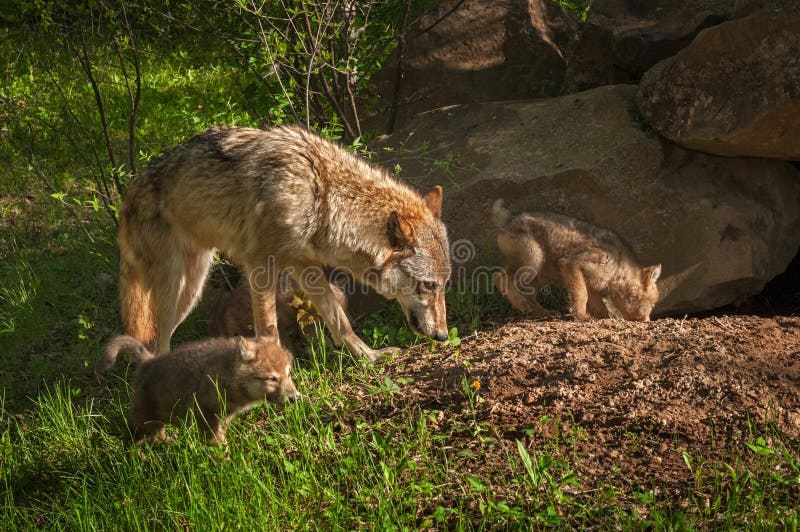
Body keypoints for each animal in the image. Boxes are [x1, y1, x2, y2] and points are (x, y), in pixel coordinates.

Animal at [101, 330, 299, 445]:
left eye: (288, 374)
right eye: (272, 378)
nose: (296, 398)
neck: (228, 375)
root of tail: (148, 361)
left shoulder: (223, 418)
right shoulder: (206, 414)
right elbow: (217, 443)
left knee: (157, 433)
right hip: (143, 419)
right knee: (130, 436)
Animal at [118, 125, 451, 361]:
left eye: (443, 285)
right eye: (429, 285)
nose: (444, 336)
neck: (321, 195)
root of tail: (128, 191)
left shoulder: (308, 268)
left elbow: (340, 320)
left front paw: (370, 357)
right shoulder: (259, 267)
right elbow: (270, 330)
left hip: (191, 291)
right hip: (175, 287)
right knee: (156, 343)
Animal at [492, 200, 661, 322]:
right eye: (652, 304)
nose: (647, 321)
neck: (618, 266)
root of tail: (509, 219)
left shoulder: (590, 283)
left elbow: (600, 308)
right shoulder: (571, 264)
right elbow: (581, 295)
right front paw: (581, 317)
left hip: (540, 274)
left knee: (528, 294)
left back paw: (542, 312)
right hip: (533, 261)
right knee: (499, 278)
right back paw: (522, 304)